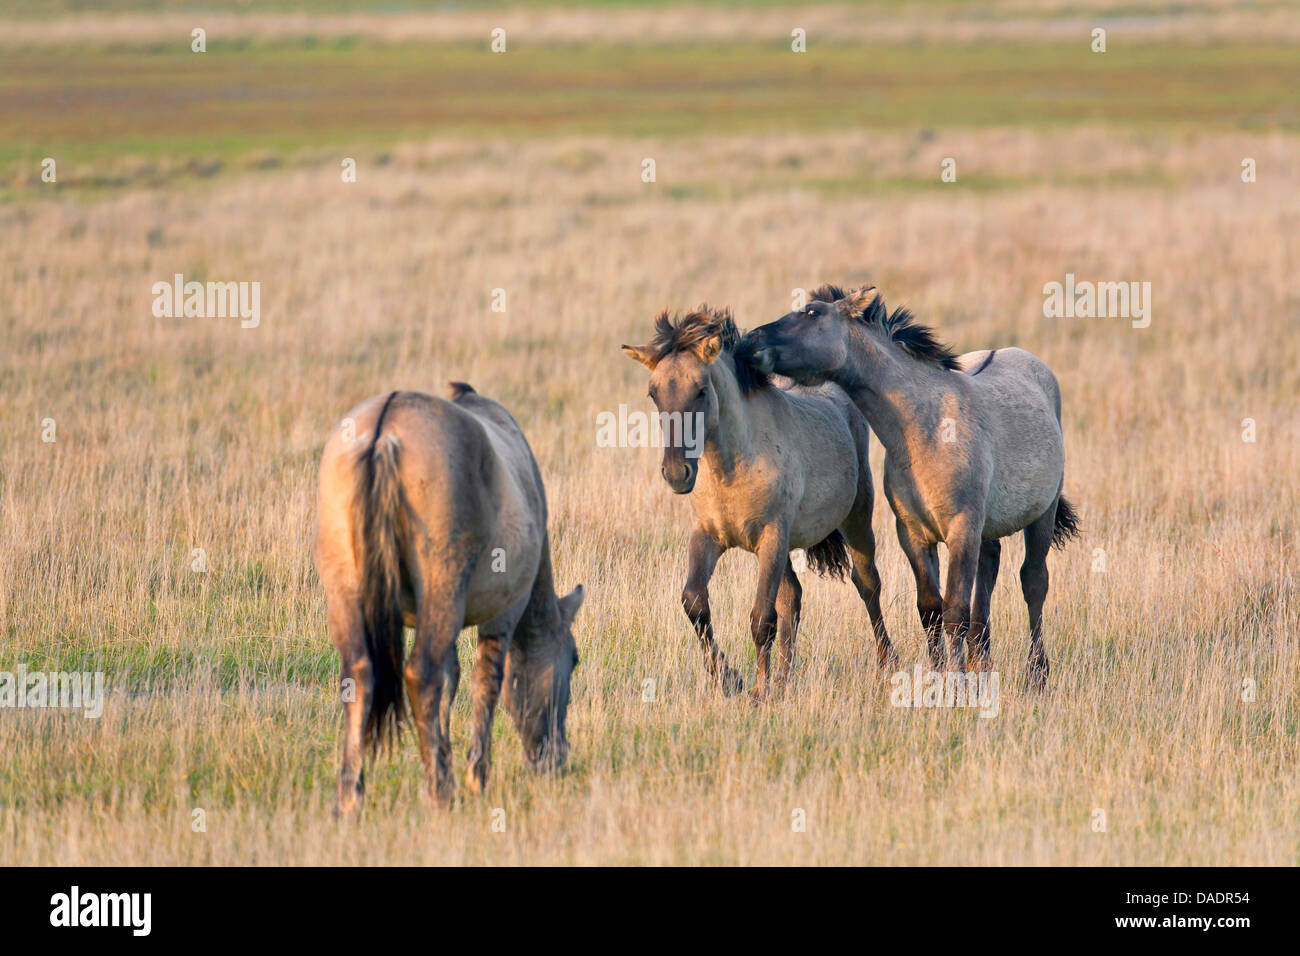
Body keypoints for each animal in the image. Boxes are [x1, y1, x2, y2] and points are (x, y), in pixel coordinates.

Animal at [314, 384, 584, 816]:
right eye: (573, 660)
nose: (556, 758)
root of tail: (386, 429)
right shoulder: (503, 615)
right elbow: (486, 682)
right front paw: (474, 775)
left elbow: (450, 679)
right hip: (442, 586)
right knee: (422, 674)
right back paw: (441, 791)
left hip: (348, 591)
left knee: (360, 674)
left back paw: (351, 797)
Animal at [622, 306, 895, 700]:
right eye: (653, 394)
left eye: (700, 391)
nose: (676, 474)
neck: (731, 471)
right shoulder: (709, 536)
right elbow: (695, 603)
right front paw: (729, 679)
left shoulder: (771, 537)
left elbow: (762, 619)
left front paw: (758, 691)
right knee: (793, 596)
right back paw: (783, 678)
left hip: (856, 519)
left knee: (867, 583)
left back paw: (886, 663)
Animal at [742, 285, 1079, 688]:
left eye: (812, 313)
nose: (751, 339)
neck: (925, 428)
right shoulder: (914, 534)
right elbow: (930, 608)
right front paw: (939, 675)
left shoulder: (961, 530)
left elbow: (955, 610)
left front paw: (956, 680)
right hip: (987, 530)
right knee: (990, 572)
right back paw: (983, 662)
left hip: (1041, 516)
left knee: (1034, 582)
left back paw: (1037, 673)